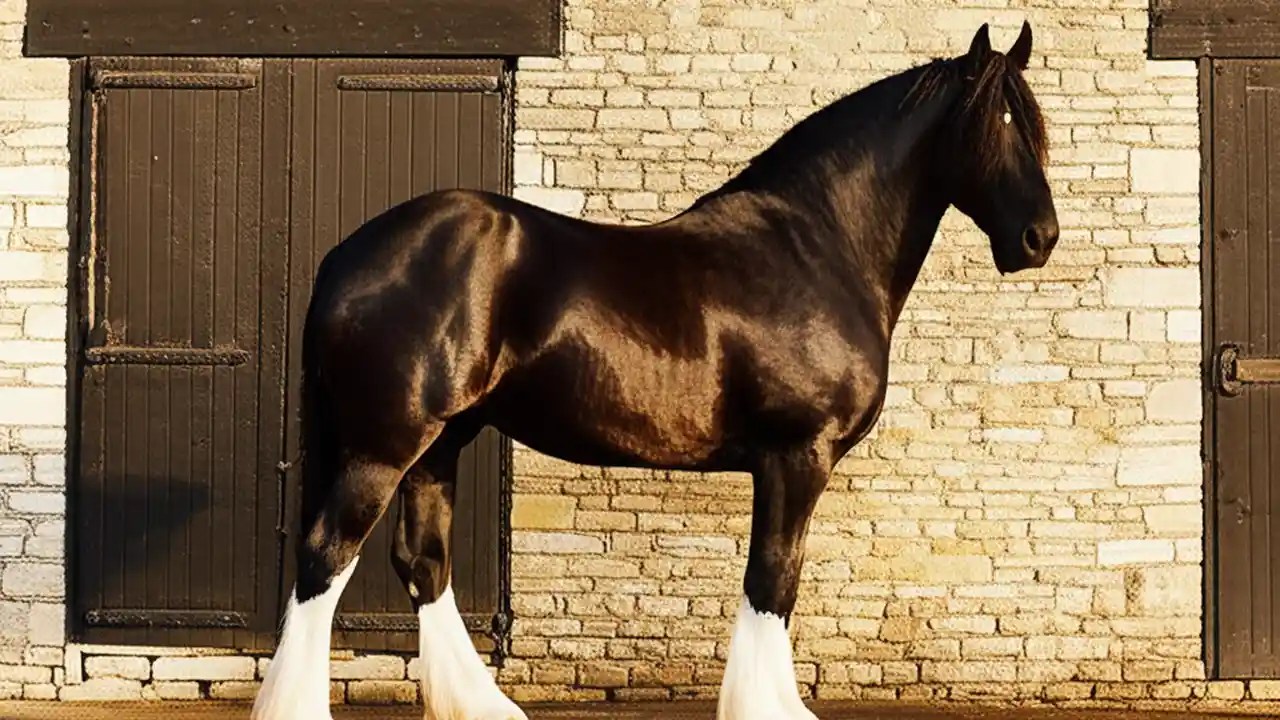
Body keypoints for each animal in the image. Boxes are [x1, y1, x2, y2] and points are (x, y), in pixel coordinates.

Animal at [251, 21, 1058, 720]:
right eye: (996, 122)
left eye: (1036, 125)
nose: (1039, 238)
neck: (814, 247)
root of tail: (347, 254)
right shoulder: (798, 454)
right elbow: (774, 580)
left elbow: (776, 580)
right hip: (385, 446)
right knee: (326, 560)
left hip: (438, 444)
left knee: (423, 563)